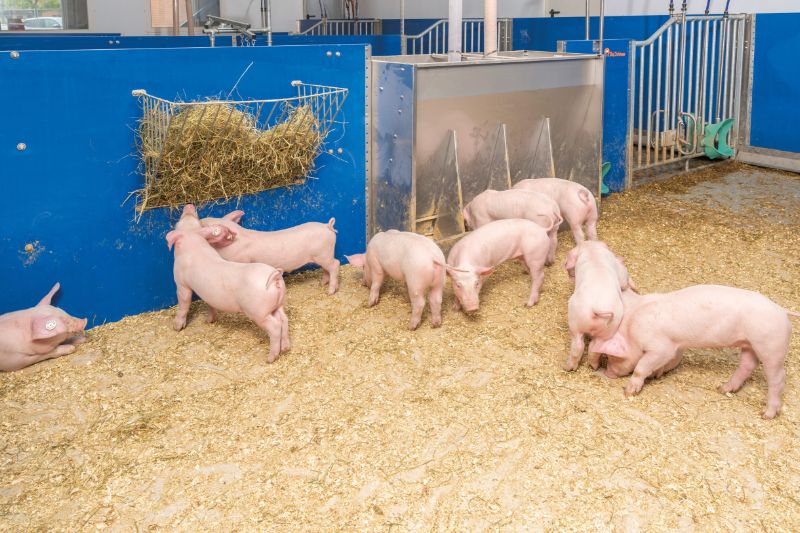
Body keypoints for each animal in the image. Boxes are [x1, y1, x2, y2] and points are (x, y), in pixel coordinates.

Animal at [168, 204, 289, 363]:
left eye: (177, 223)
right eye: (198, 221)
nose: (189, 206)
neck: (194, 244)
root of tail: (274, 277)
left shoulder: (181, 283)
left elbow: (183, 303)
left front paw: (177, 327)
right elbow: (210, 305)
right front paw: (209, 321)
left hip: (258, 312)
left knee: (275, 327)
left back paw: (270, 358)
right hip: (278, 304)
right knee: (284, 320)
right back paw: (286, 348)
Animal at [200, 211, 340, 295]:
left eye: (209, 227)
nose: (200, 220)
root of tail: (327, 226)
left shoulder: (241, 260)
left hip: (323, 254)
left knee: (335, 265)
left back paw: (330, 292)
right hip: (323, 255)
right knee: (327, 269)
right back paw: (321, 284)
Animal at [563, 241, 636, 372]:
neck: (592, 250)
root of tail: (596, 309)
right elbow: (623, 280)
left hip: (583, 322)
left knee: (584, 346)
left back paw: (574, 367)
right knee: (586, 347)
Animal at [588, 285, 800, 419]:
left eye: (613, 357)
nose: (609, 373)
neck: (632, 328)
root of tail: (781, 310)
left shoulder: (660, 346)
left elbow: (642, 366)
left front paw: (628, 391)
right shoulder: (675, 346)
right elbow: (668, 362)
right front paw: (657, 374)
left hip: (771, 346)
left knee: (778, 377)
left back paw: (767, 415)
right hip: (750, 345)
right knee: (747, 365)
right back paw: (723, 389)